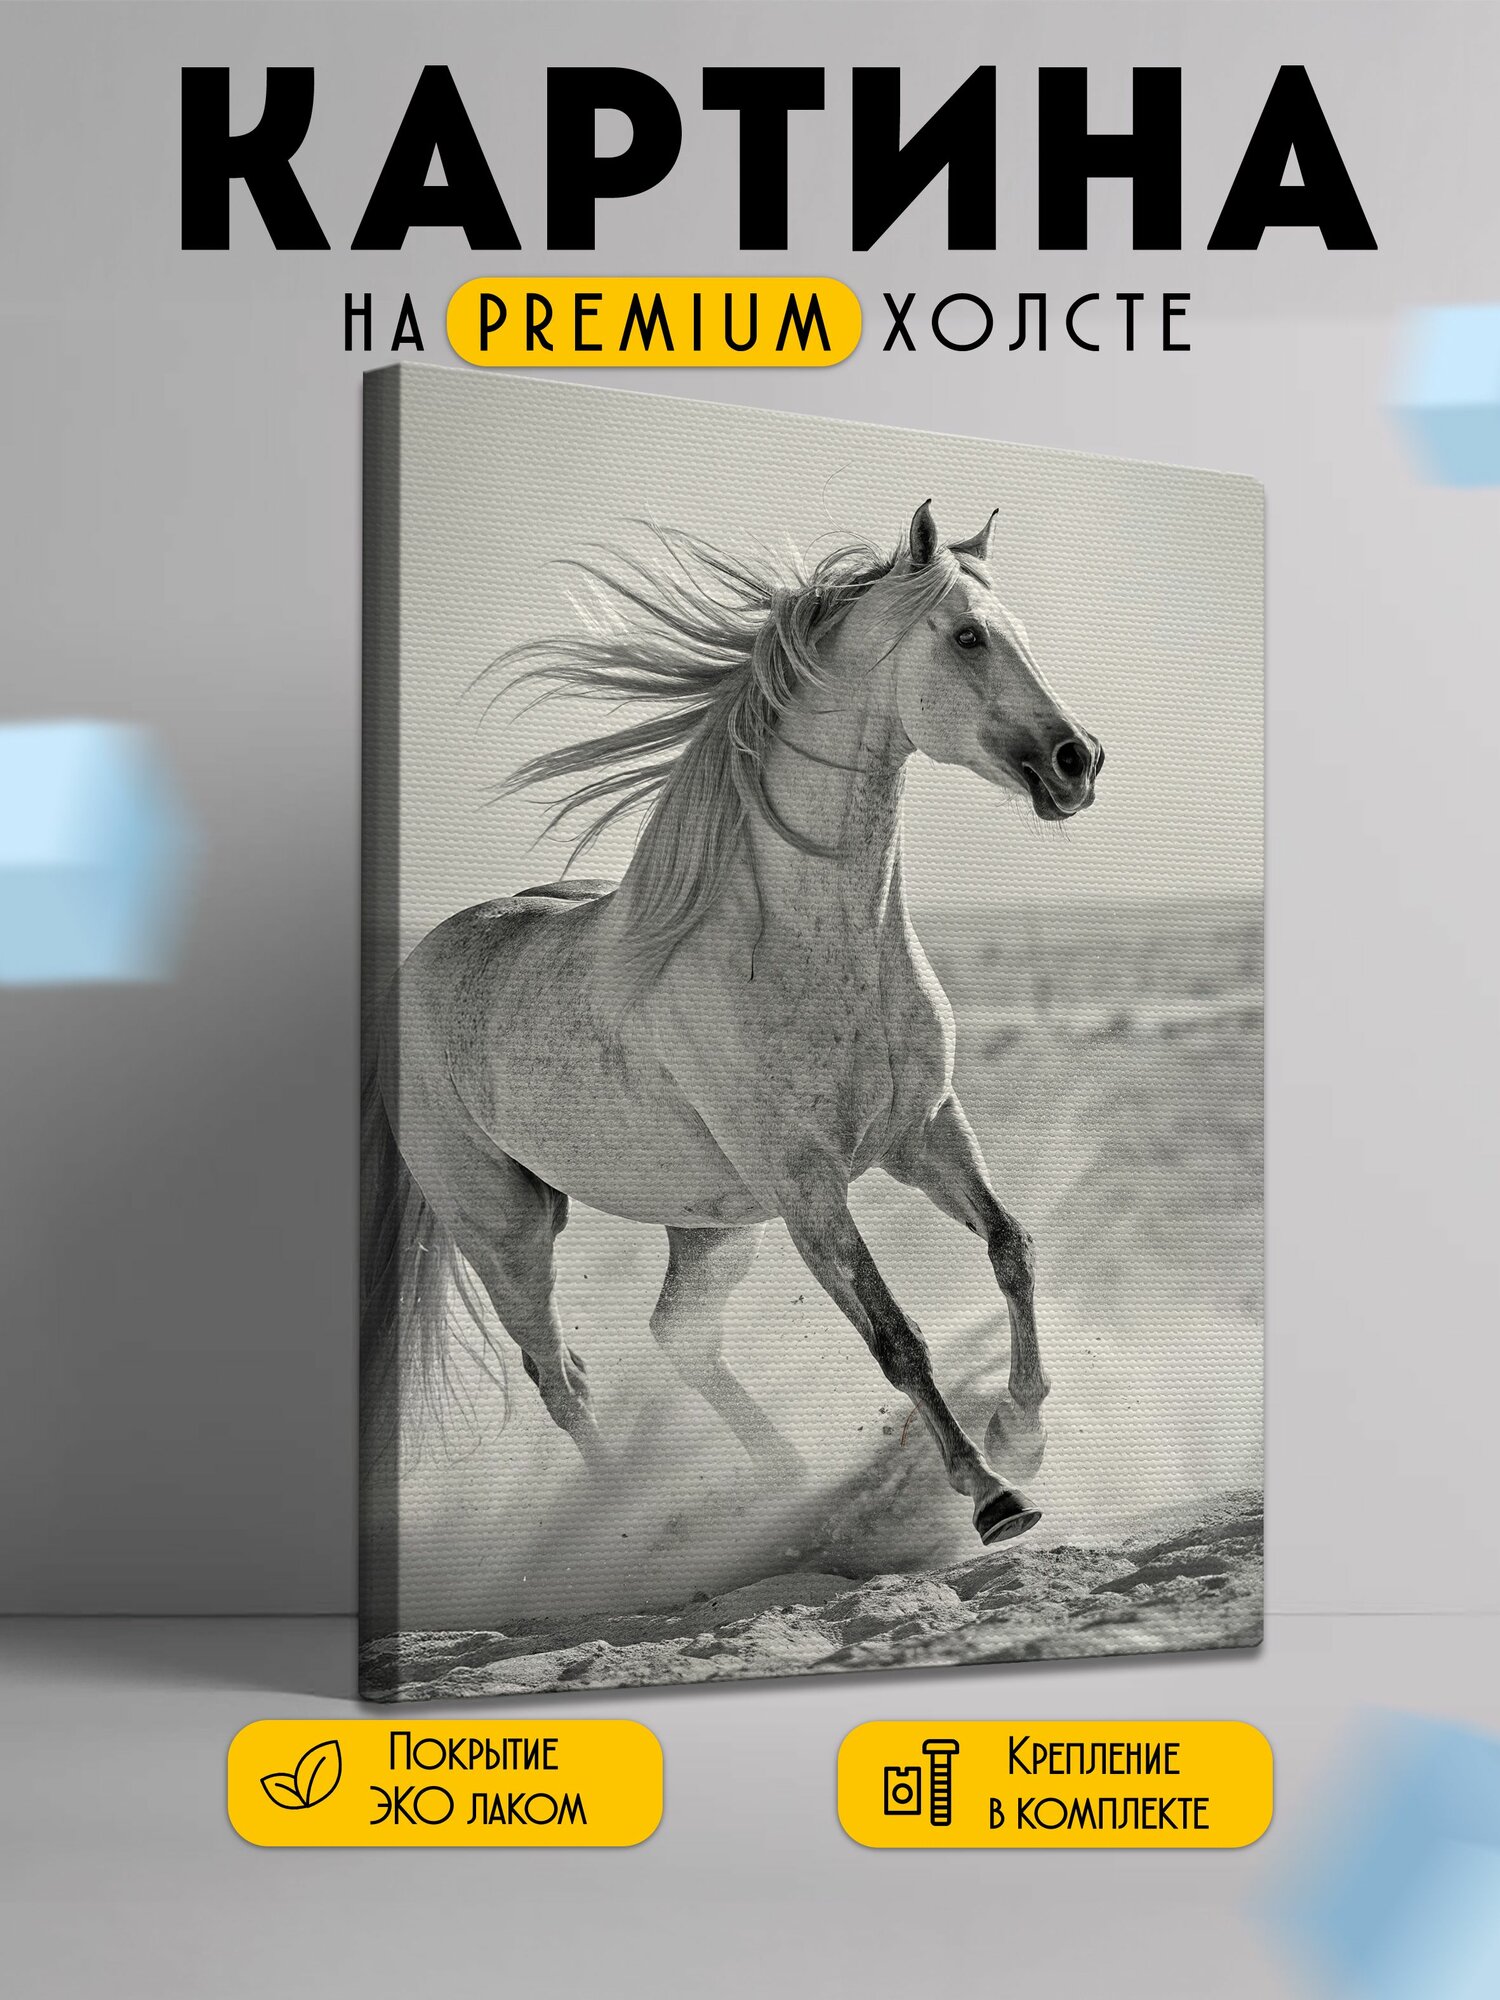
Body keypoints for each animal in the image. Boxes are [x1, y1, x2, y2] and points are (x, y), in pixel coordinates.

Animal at [361, 500, 1103, 1547]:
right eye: (966, 636)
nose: (1078, 761)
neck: (802, 941)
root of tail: (414, 970)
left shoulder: (923, 1132)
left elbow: (1012, 1249)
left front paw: (1023, 1432)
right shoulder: (806, 1186)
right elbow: (896, 1338)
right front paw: (995, 1493)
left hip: (709, 1221)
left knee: (678, 1335)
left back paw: (778, 1480)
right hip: (507, 1231)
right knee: (560, 1377)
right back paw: (620, 1517)